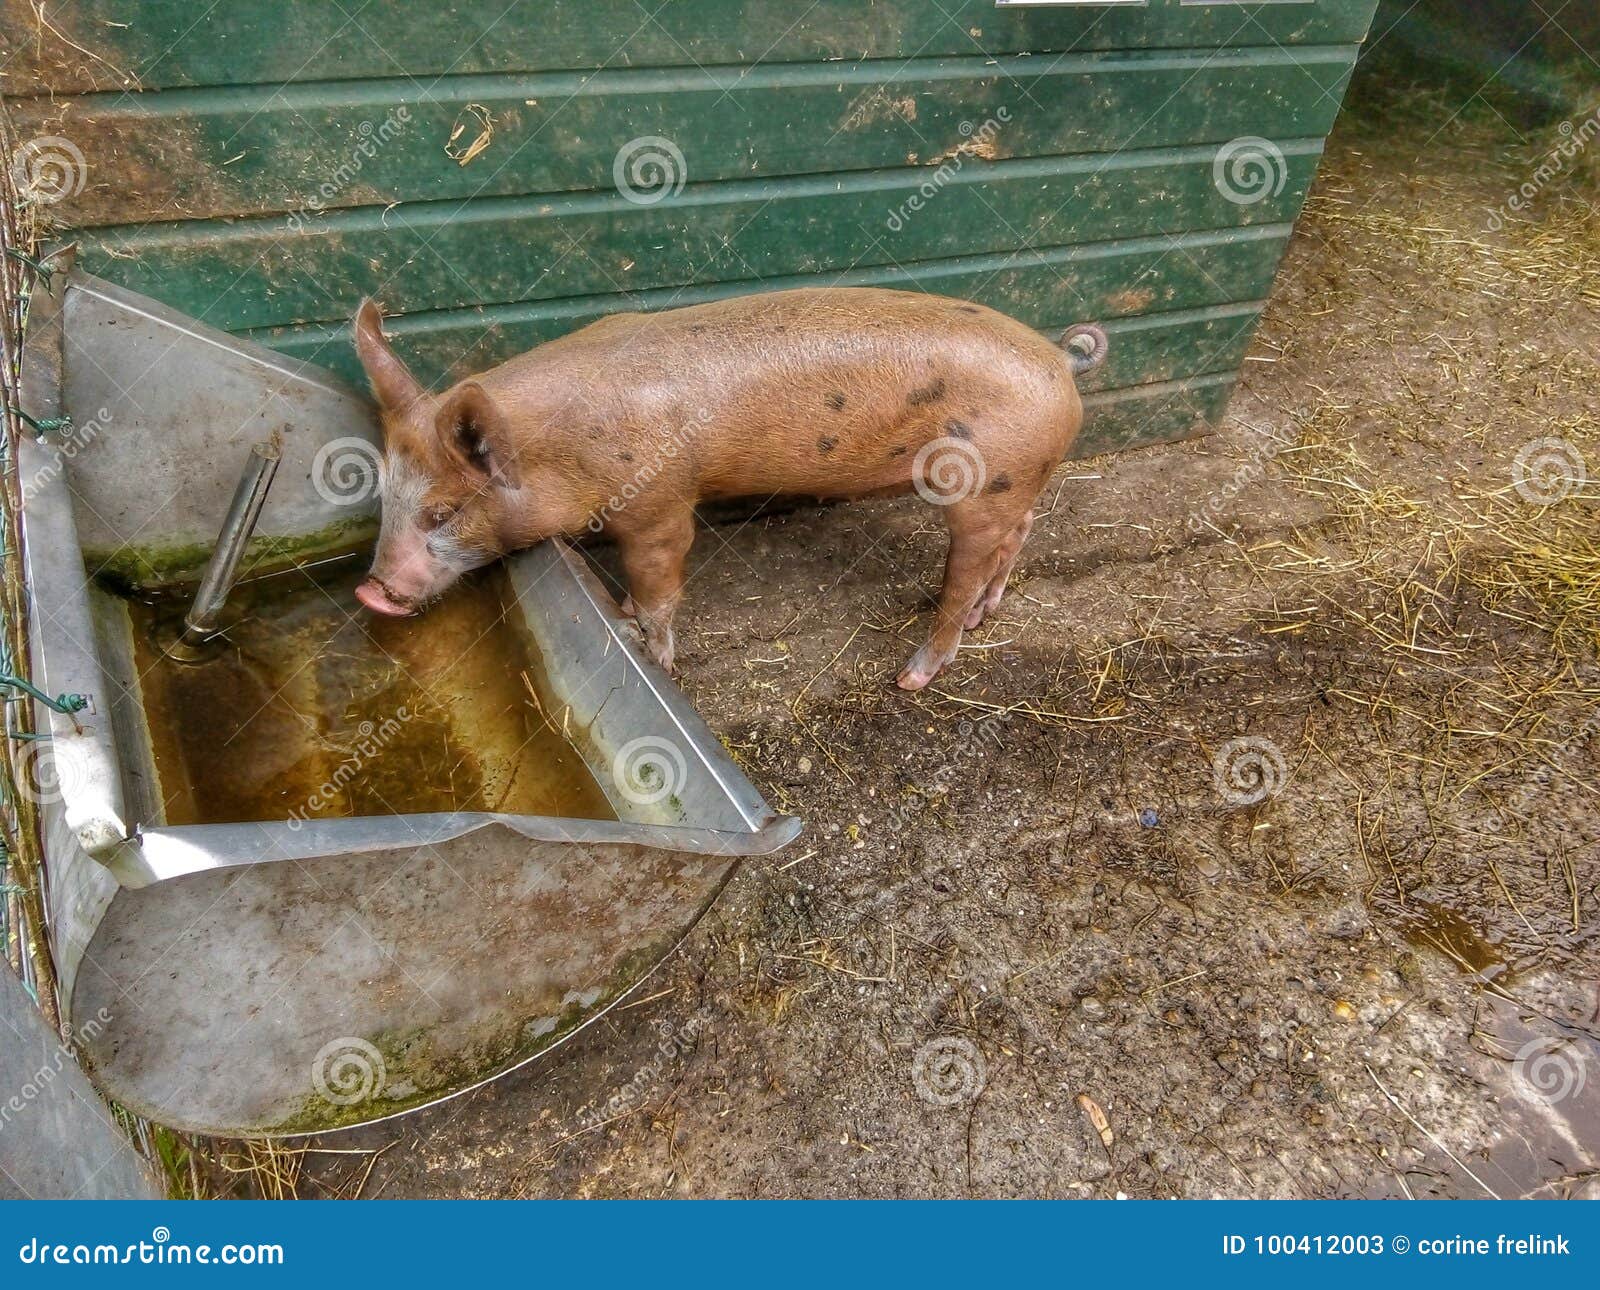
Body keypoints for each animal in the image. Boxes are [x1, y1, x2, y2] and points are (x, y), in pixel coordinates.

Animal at [351, 288, 1106, 691]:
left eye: (442, 512)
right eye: (385, 497)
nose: (371, 591)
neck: (564, 447)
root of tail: (1060, 360)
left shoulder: (659, 504)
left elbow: (660, 588)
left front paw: (655, 656)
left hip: (987, 482)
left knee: (968, 571)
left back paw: (912, 674)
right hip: (1013, 484)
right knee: (1019, 533)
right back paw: (985, 615)